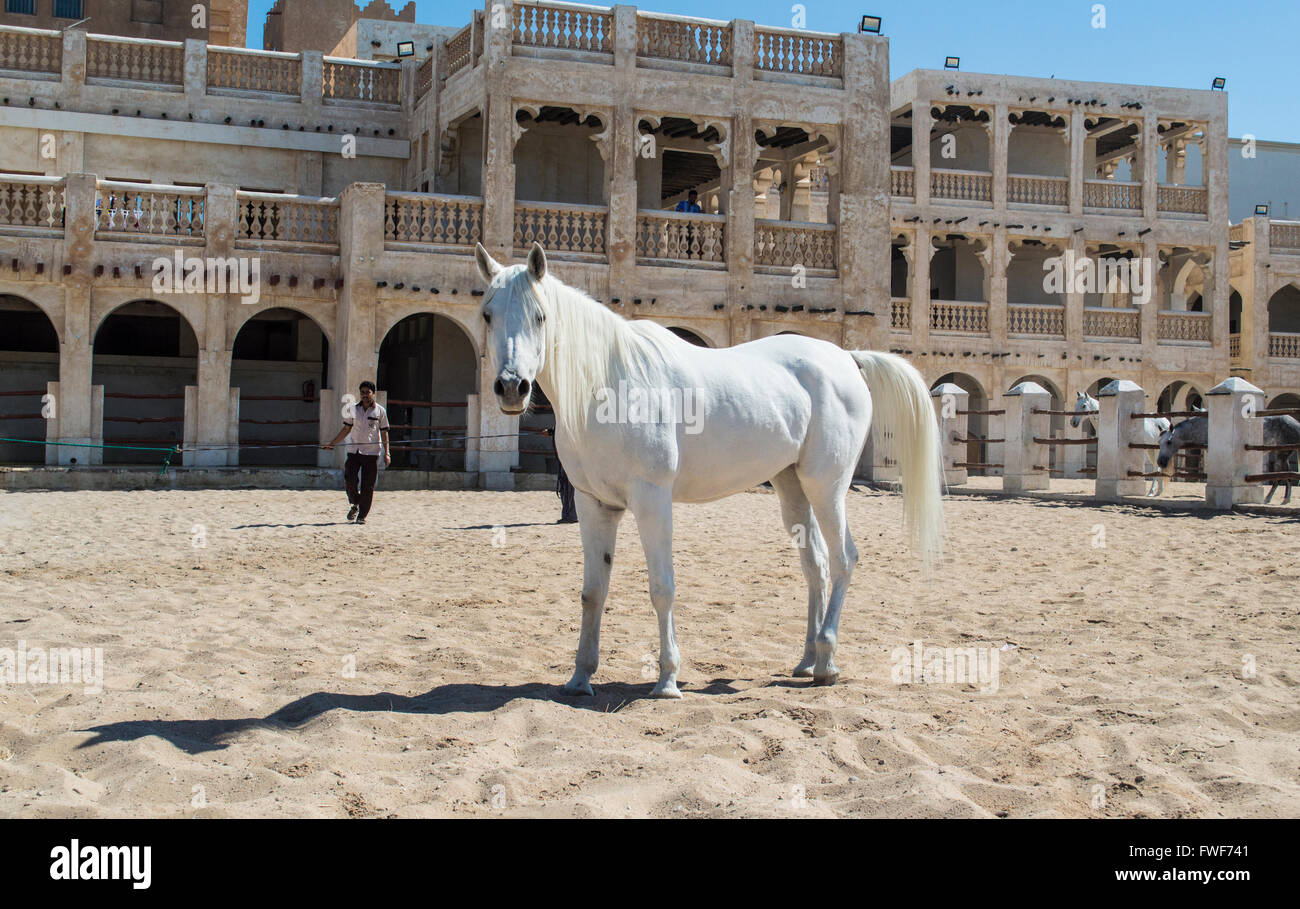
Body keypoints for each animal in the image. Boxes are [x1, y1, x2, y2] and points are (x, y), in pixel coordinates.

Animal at [474, 242, 945, 697]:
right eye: (487, 314)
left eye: (540, 316)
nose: (512, 387)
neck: (608, 386)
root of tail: (847, 358)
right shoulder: (594, 505)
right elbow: (593, 592)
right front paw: (579, 679)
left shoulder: (652, 500)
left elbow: (661, 588)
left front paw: (667, 680)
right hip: (792, 489)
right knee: (816, 565)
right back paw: (807, 661)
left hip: (826, 486)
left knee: (845, 558)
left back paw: (827, 663)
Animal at [1156, 414, 1300, 504]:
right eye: (1159, 442)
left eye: (1169, 442)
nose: (1160, 462)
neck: (1205, 426)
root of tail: (1295, 423)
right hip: (1279, 454)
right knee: (1283, 475)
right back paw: (1274, 499)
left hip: (1282, 454)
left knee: (1284, 475)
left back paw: (1282, 499)